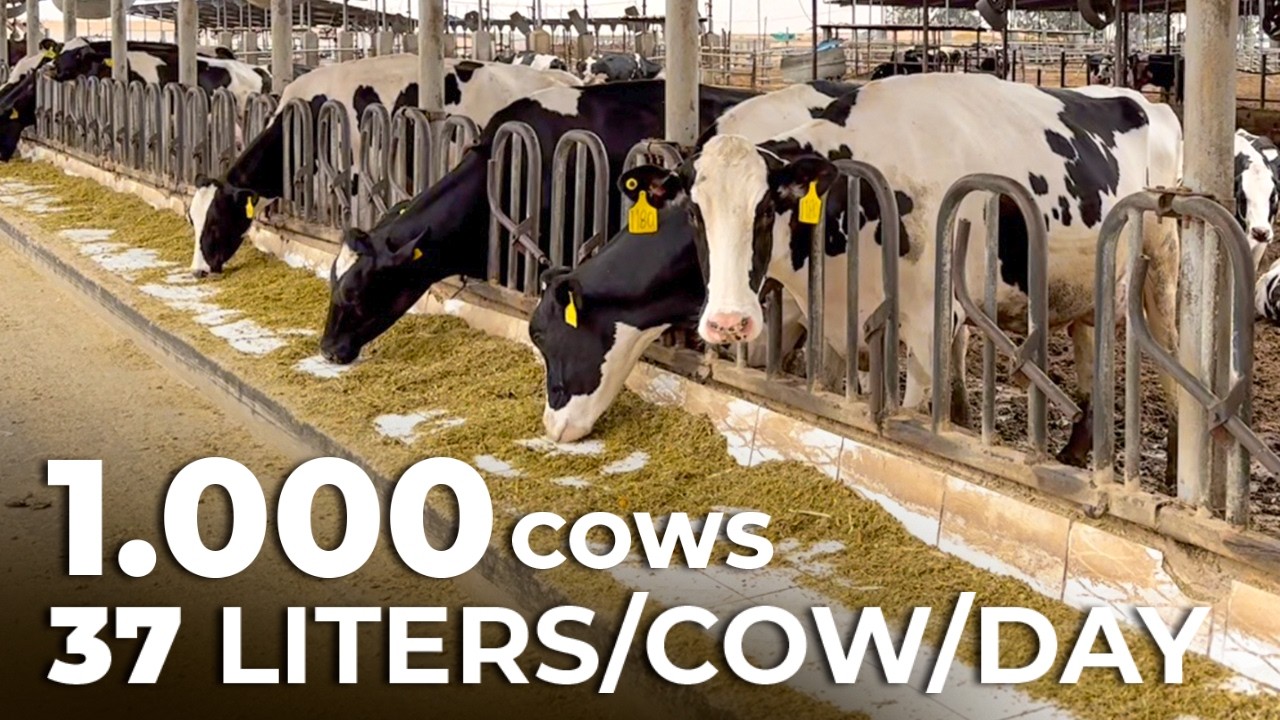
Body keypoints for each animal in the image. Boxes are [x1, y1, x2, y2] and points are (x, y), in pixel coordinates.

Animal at [625, 74, 1184, 471]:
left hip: (1163, 268)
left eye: (766, 209)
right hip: (1087, 287)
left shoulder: (930, 321)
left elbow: (915, 415)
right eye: (693, 212)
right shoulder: (838, 322)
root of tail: (1141, 101)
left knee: (1172, 361)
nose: (727, 323)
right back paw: (1076, 450)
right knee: (1092, 349)